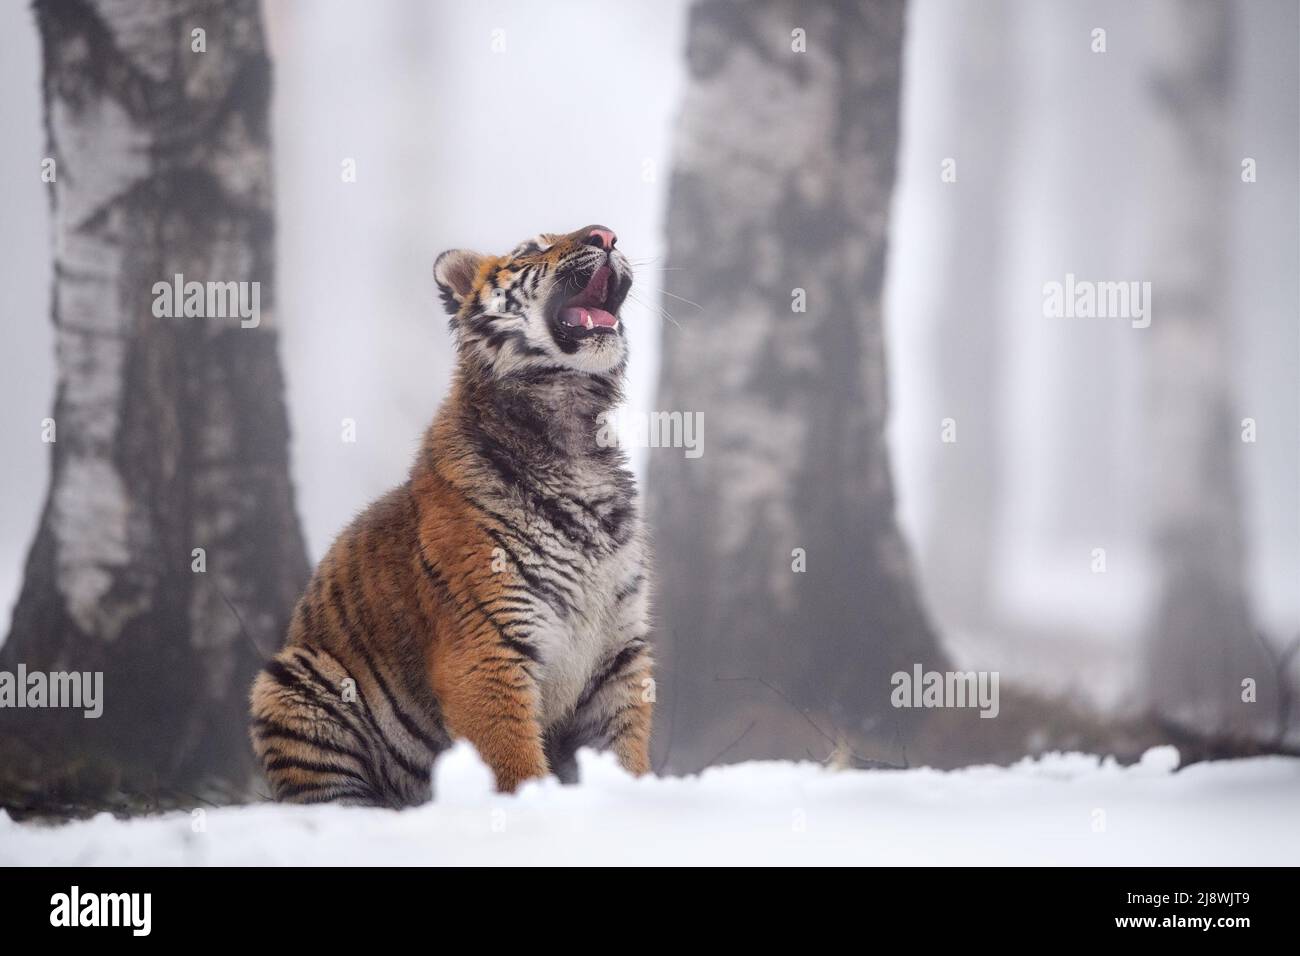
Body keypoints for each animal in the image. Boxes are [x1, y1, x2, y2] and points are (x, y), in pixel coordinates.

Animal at [249, 224, 652, 807]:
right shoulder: (487, 648)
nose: (607, 234)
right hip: (291, 679)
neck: (575, 436)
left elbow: (626, 757)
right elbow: (514, 764)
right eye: (532, 249)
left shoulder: (620, 653)